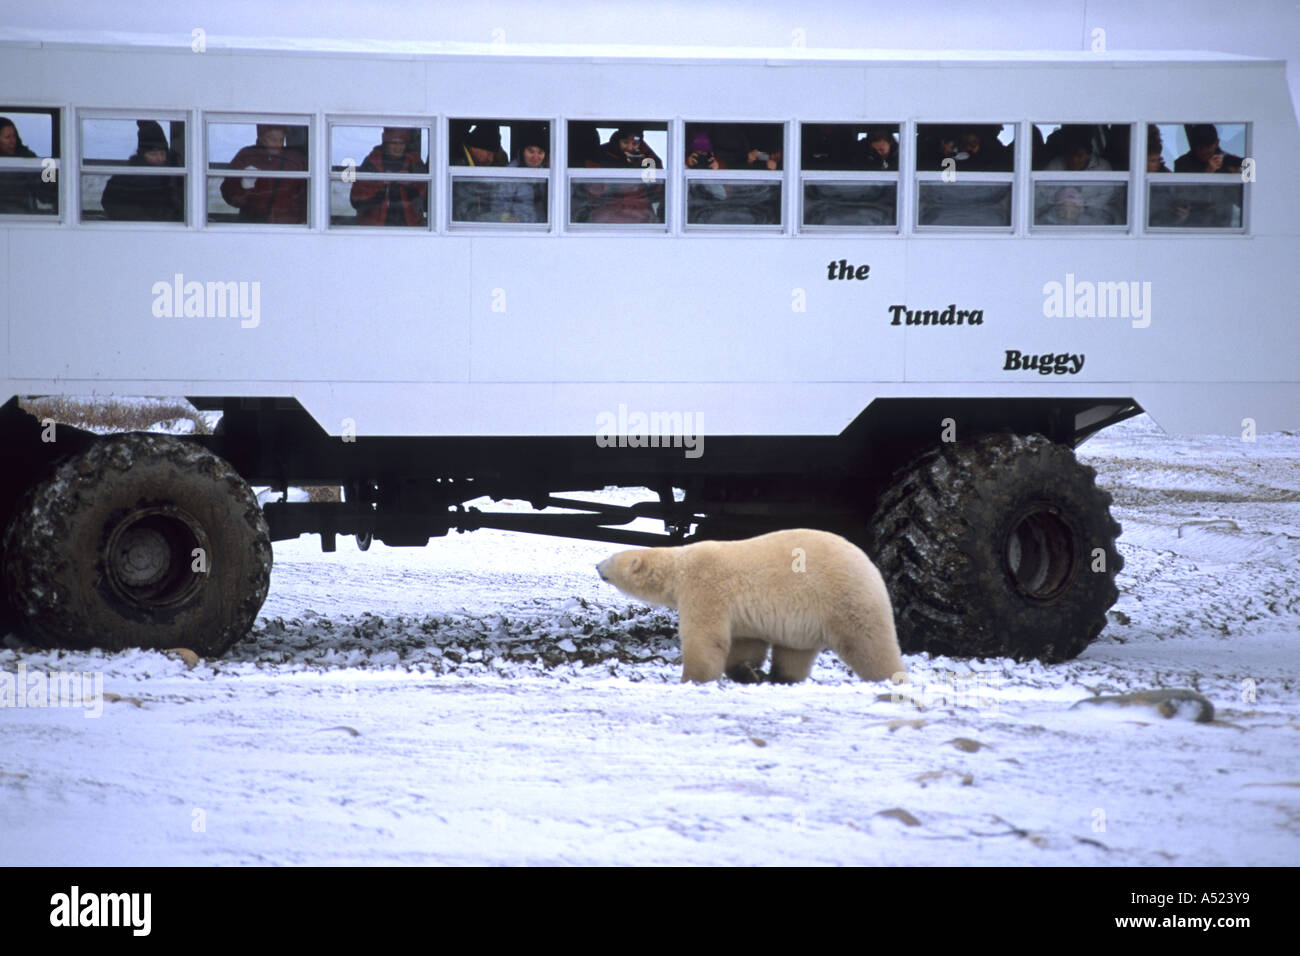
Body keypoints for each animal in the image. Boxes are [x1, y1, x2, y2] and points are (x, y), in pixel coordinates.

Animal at [596, 528, 905, 685]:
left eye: (610, 558)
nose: (597, 565)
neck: (680, 566)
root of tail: (870, 565)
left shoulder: (705, 588)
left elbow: (706, 638)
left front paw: (691, 678)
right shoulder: (742, 614)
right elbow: (745, 644)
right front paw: (748, 672)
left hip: (843, 596)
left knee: (868, 644)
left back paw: (891, 679)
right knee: (794, 651)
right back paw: (782, 677)